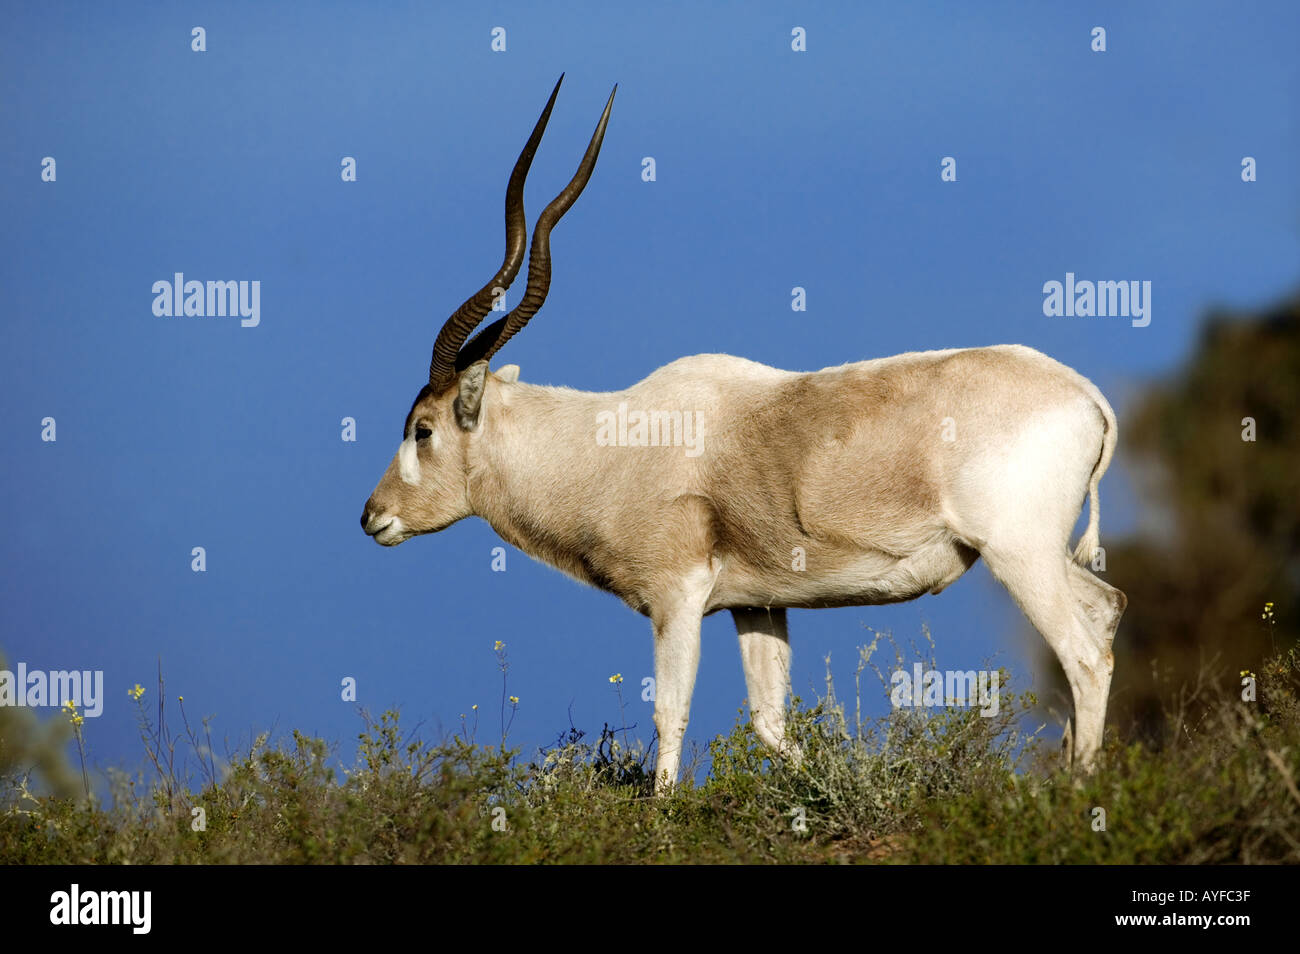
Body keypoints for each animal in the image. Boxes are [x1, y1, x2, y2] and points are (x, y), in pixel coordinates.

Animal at [360, 76, 1128, 792]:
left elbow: (671, 713)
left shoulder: (676, 598)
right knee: (1107, 613)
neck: (610, 446)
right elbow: (770, 723)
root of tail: (1085, 395)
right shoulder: (757, 604)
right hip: (1038, 556)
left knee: (1084, 655)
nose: (373, 516)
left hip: (1018, 554)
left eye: (422, 429)